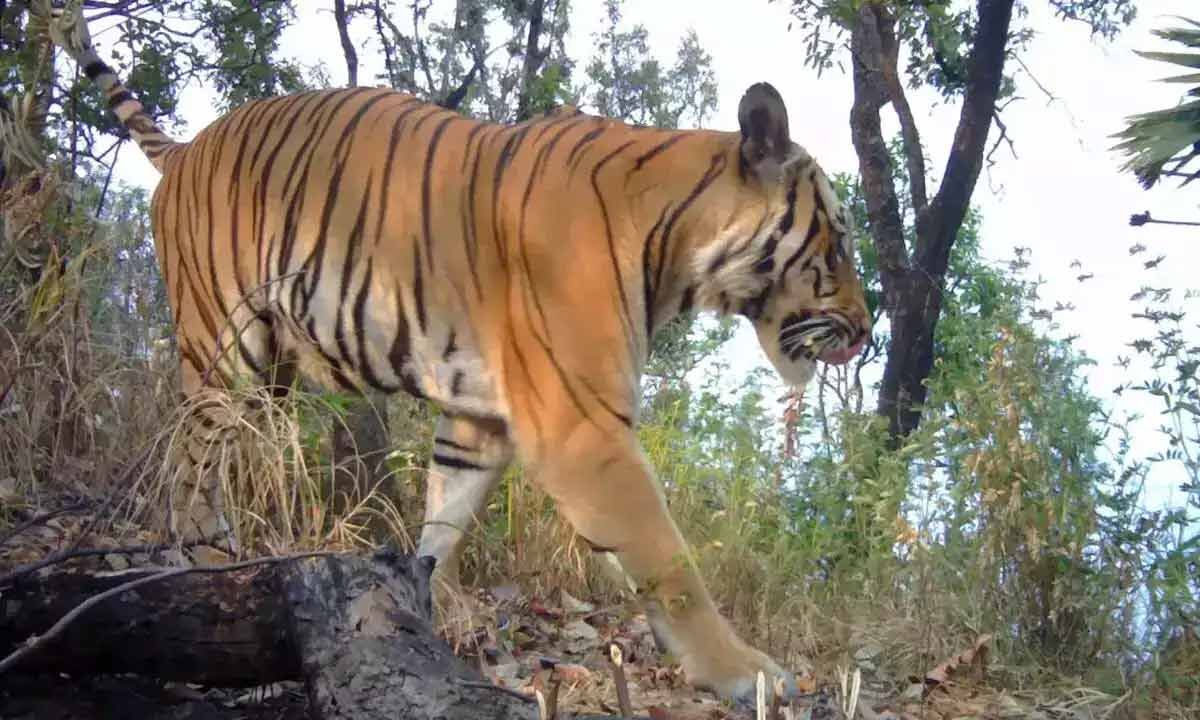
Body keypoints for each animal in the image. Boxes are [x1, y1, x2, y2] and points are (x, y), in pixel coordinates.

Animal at [47, 3, 870, 704]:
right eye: (839, 242)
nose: (866, 332)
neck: (676, 241)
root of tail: (187, 147)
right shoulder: (582, 429)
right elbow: (669, 561)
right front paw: (748, 674)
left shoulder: (480, 420)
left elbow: (444, 523)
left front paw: (423, 613)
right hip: (224, 355)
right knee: (186, 469)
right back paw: (205, 565)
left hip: (269, 373)